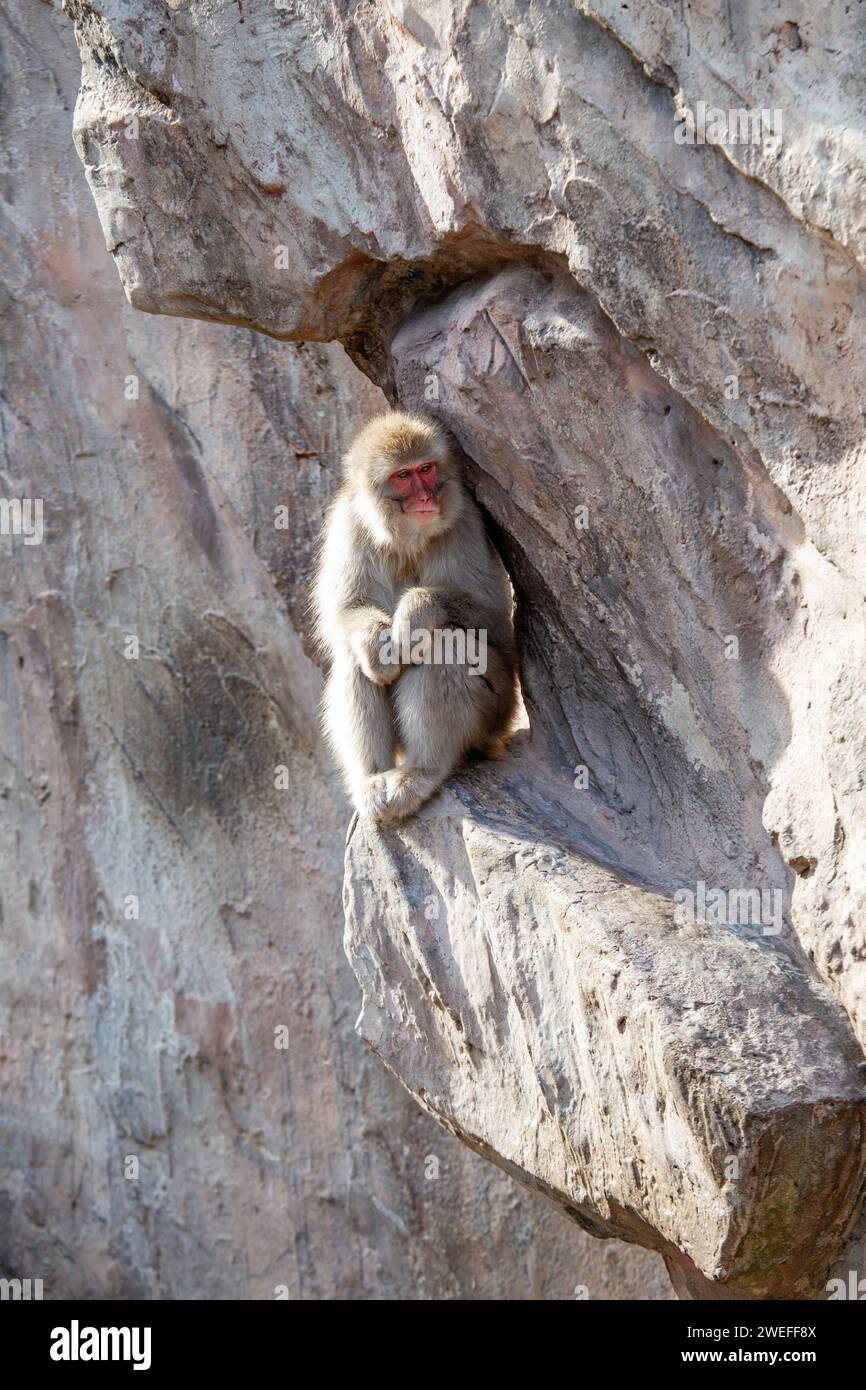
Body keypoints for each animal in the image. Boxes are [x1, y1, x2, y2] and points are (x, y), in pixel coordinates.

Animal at [312, 410, 518, 822]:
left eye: (426, 468)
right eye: (403, 476)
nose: (425, 496)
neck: (408, 538)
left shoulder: (467, 520)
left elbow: (493, 618)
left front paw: (415, 612)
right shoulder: (349, 524)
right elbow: (345, 611)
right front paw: (377, 644)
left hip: (497, 710)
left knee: (445, 644)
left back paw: (425, 770)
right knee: (353, 657)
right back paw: (373, 779)